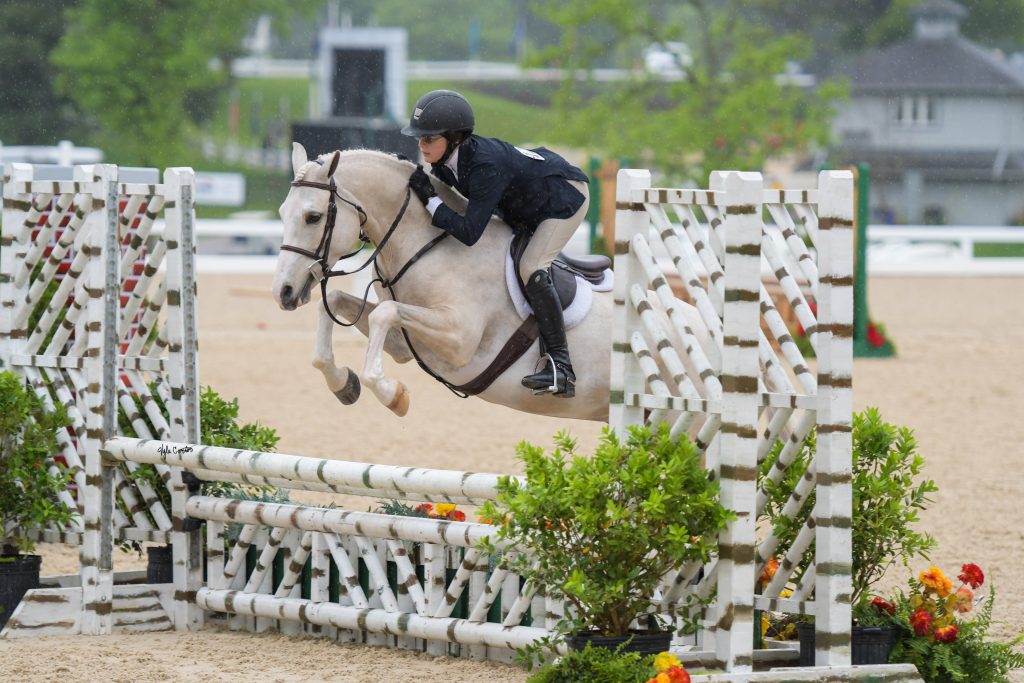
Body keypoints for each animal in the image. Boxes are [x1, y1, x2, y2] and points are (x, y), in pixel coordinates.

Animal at [272, 143, 707, 422]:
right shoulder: (407, 345)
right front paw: (343, 383)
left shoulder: (458, 339)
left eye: (313, 217)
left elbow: (384, 314)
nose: (284, 293)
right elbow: (337, 305)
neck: (428, 241)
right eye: (281, 212)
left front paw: (393, 396)